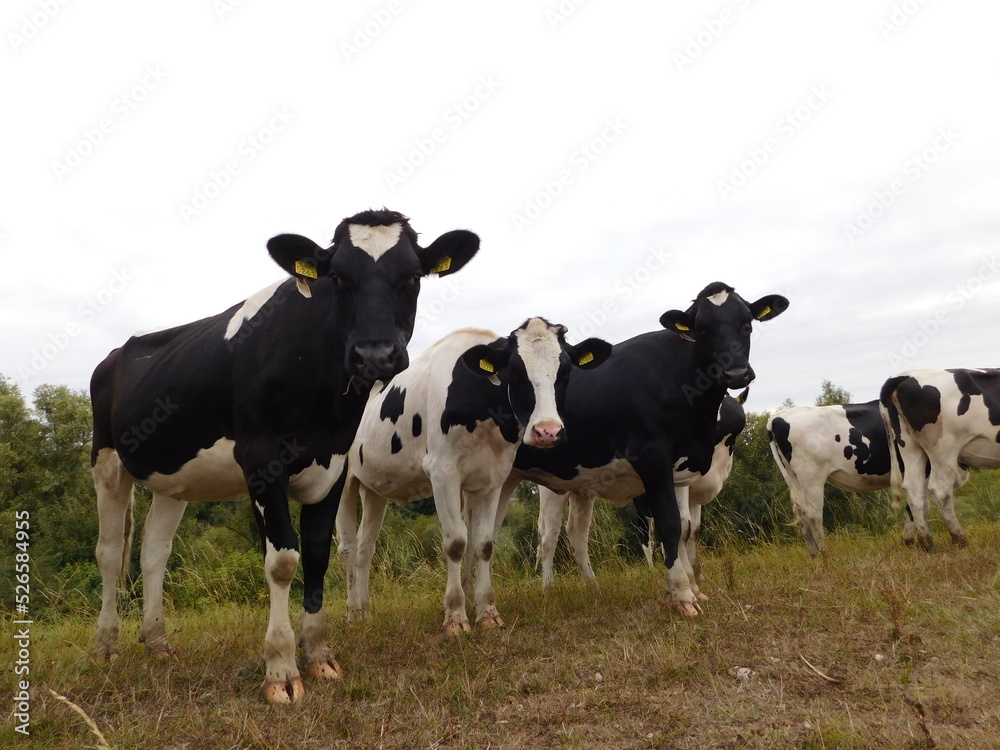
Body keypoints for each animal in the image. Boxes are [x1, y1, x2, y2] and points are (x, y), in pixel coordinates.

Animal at [90, 209, 479, 703]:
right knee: (108, 551)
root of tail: (119, 351)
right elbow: (281, 561)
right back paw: (107, 647)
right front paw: (280, 670)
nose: (374, 354)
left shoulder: (334, 465)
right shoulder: (261, 461)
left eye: (412, 276)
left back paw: (157, 642)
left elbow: (315, 554)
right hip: (106, 459)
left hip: (174, 478)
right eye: (337, 277)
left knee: (153, 551)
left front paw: (319, 657)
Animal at [337, 318, 611, 634]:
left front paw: (488, 613)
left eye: (564, 372)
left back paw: (366, 612)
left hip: (374, 487)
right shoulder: (442, 472)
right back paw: (352, 613)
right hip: (343, 482)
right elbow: (456, 543)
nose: (547, 431)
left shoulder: (492, 478)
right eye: (515, 372)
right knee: (348, 548)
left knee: (365, 548)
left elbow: (484, 544)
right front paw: (455, 617)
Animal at [534, 388, 748, 598]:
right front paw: (686, 580)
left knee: (576, 533)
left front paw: (697, 577)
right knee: (549, 537)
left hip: (582, 492)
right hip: (554, 491)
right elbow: (679, 526)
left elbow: (693, 529)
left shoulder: (695, 495)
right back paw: (548, 588)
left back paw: (592, 586)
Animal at [767, 400, 893, 556]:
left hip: (792, 477)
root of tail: (777, 417)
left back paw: (814, 555)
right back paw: (824, 554)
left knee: (801, 513)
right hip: (812, 477)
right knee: (813, 515)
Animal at [879, 368, 998, 549]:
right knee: (940, 490)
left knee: (914, 490)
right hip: (943, 448)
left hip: (909, 446)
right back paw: (959, 538)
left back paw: (926, 541)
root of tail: (905, 376)